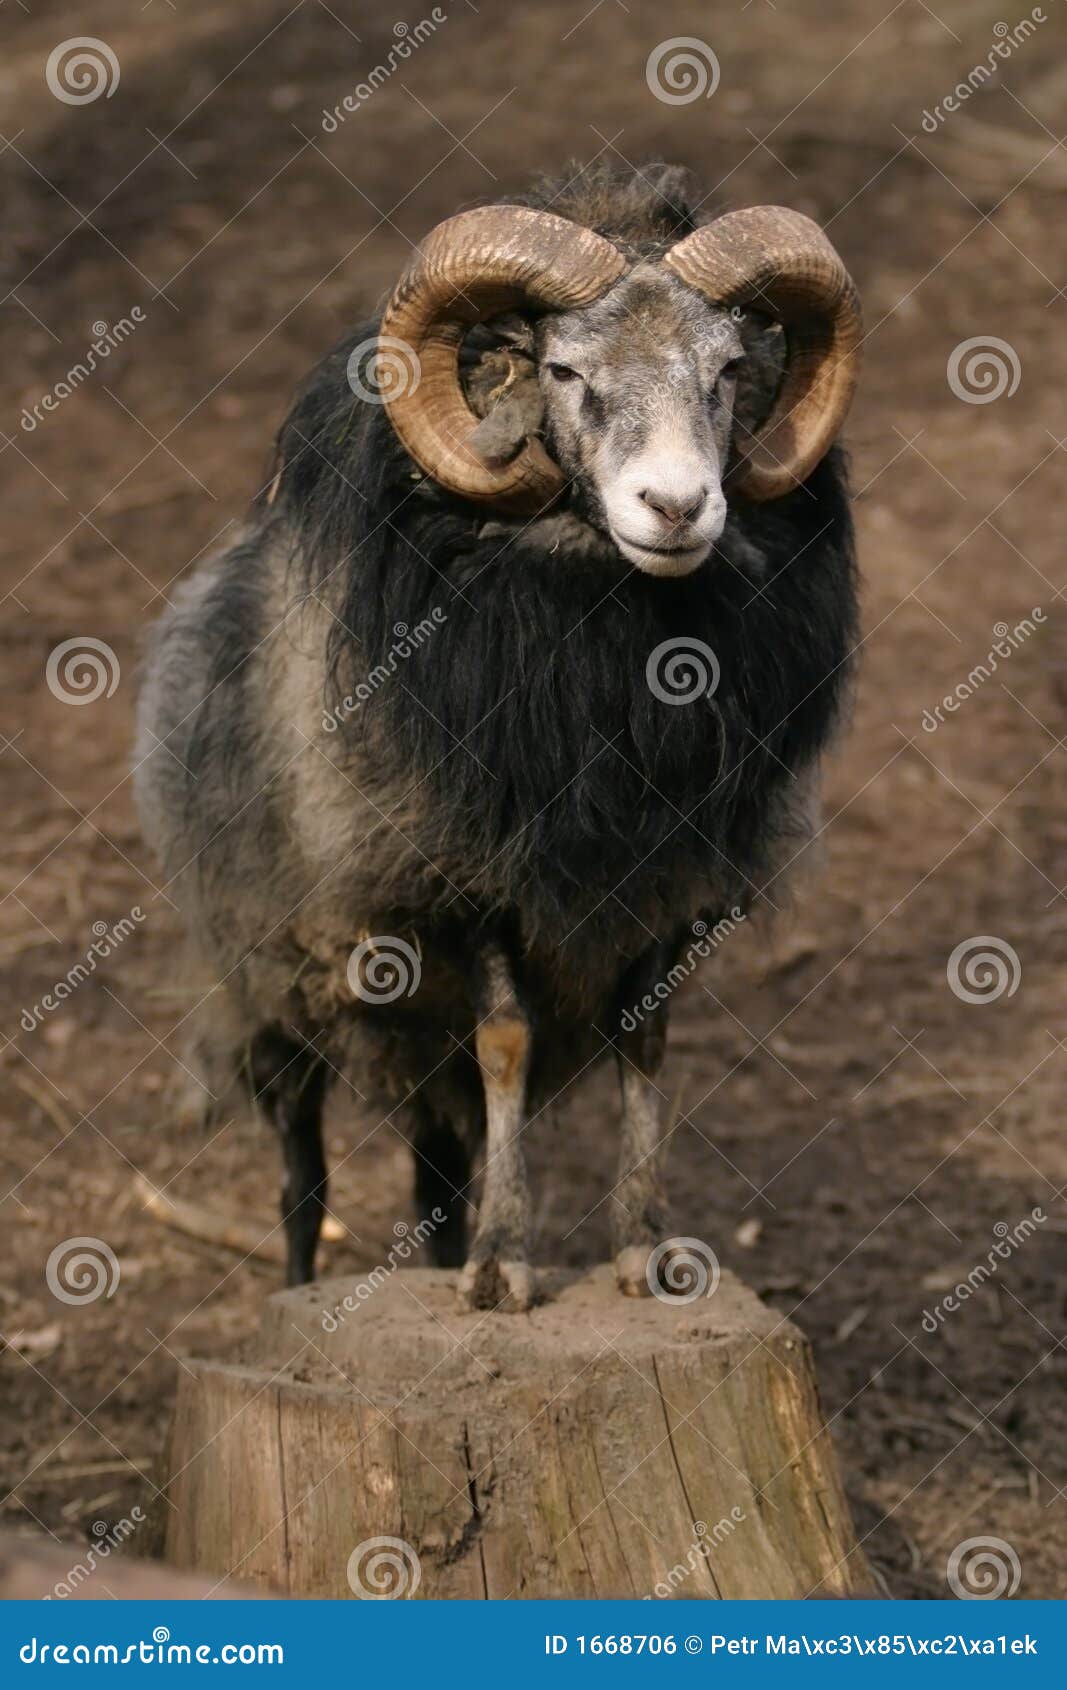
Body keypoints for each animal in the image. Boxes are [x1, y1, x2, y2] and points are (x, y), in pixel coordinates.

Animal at [134, 163, 860, 1309]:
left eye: (729, 369)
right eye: (561, 369)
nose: (677, 507)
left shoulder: (667, 873)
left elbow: (646, 1038)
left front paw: (640, 1248)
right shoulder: (459, 877)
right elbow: (509, 1041)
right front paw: (503, 1268)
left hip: (407, 1041)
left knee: (433, 1169)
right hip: (272, 976)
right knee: (301, 1169)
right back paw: (299, 1286)